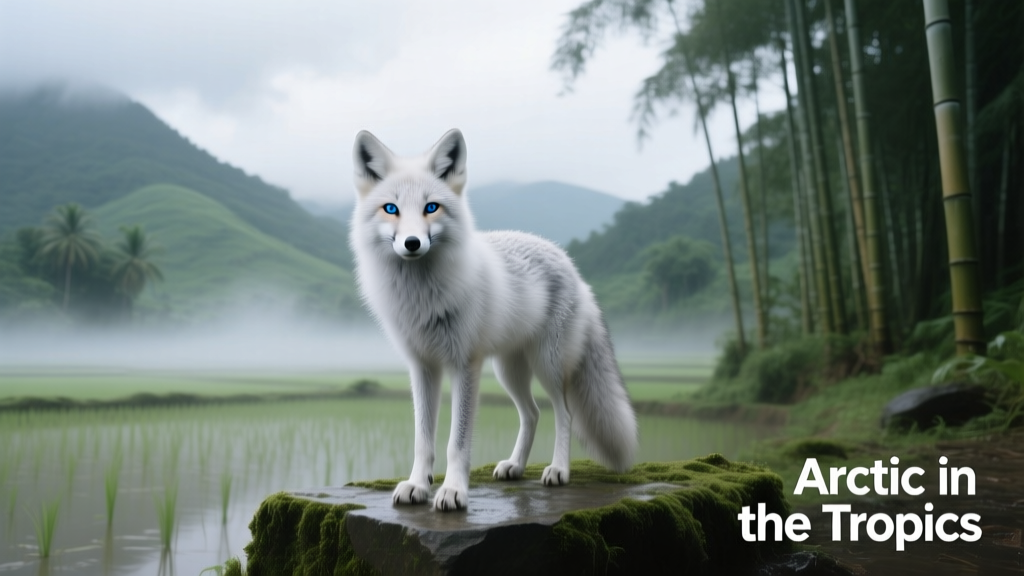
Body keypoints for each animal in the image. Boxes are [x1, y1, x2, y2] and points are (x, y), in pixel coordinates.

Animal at [349, 128, 638, 511]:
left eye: (431, 207)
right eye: (391, 209)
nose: (412, 243)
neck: (422, 296)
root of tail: (571, 265)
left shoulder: (464, 365)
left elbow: (456, 443)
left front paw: (453, 491)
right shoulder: (423, 366)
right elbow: (422, 440)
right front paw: (418, 485)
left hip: (547, 366)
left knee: (564, 414)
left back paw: (558, 470)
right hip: (508, 371)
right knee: (533, 414)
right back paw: (515, 466)